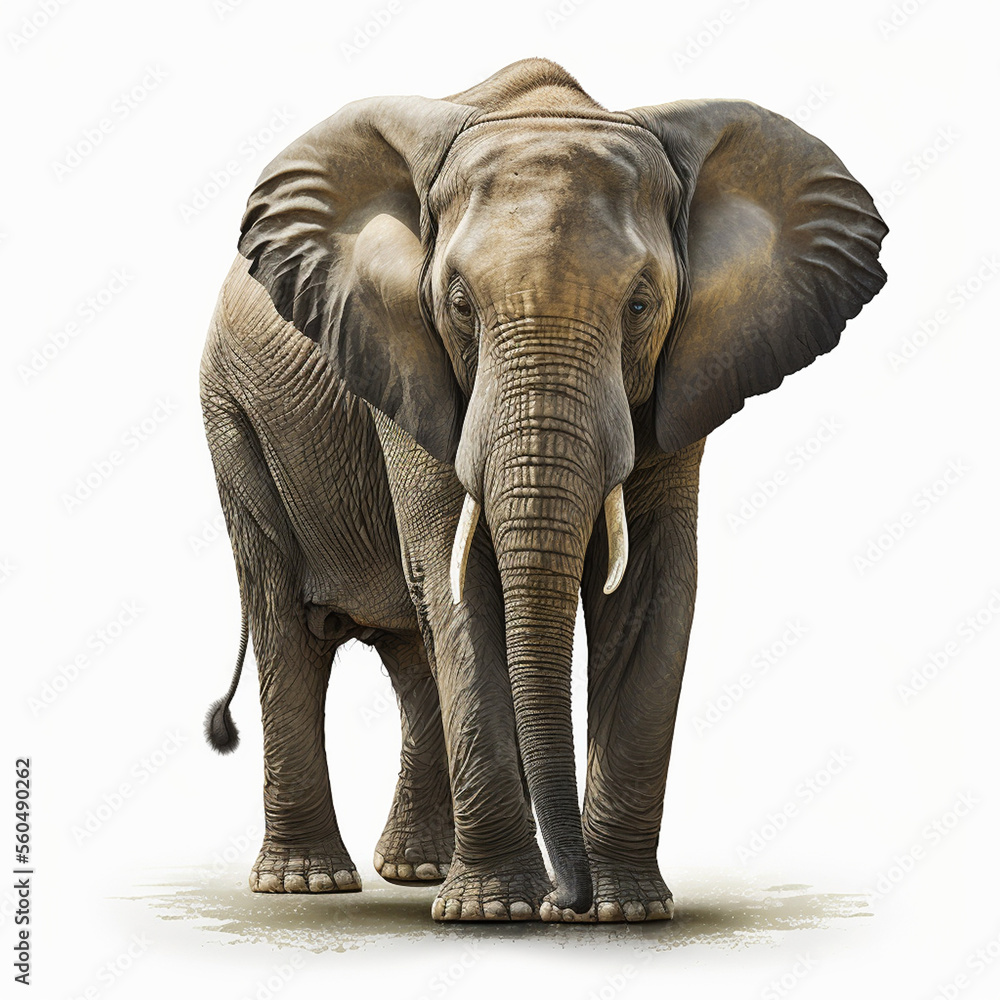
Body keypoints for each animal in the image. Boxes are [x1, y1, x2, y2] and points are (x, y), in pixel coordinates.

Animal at [200, 58, 887, 923]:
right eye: (459, 304)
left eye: (641, 304)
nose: (572, 899)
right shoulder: (401, 356)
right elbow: (457, 571)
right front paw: (494, 913)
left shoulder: (690, 367)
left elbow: (652, 584)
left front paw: (626, 912)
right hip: (234, 417)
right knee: (289, 620)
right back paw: (310, 883)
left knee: (411, 647)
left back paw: (417, 871)